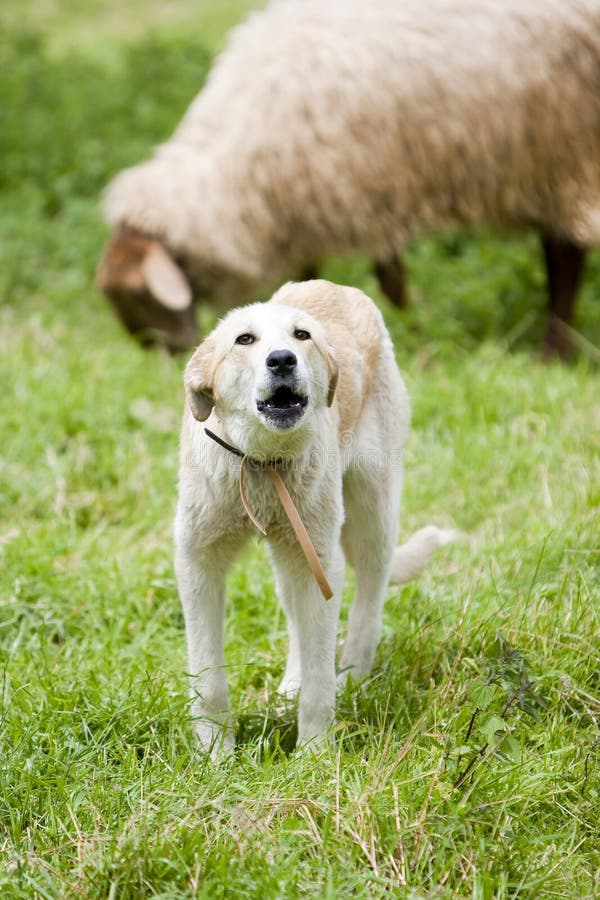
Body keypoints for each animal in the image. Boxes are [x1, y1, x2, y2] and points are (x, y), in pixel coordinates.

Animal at [98, 0, 600, 355]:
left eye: (141, 295)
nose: (164, 352)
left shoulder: (368, 187)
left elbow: (389, 279)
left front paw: (414, 328)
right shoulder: (317, 198)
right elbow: (310, 272)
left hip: (567, 152)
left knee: (565, 253)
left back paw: (553, 352)